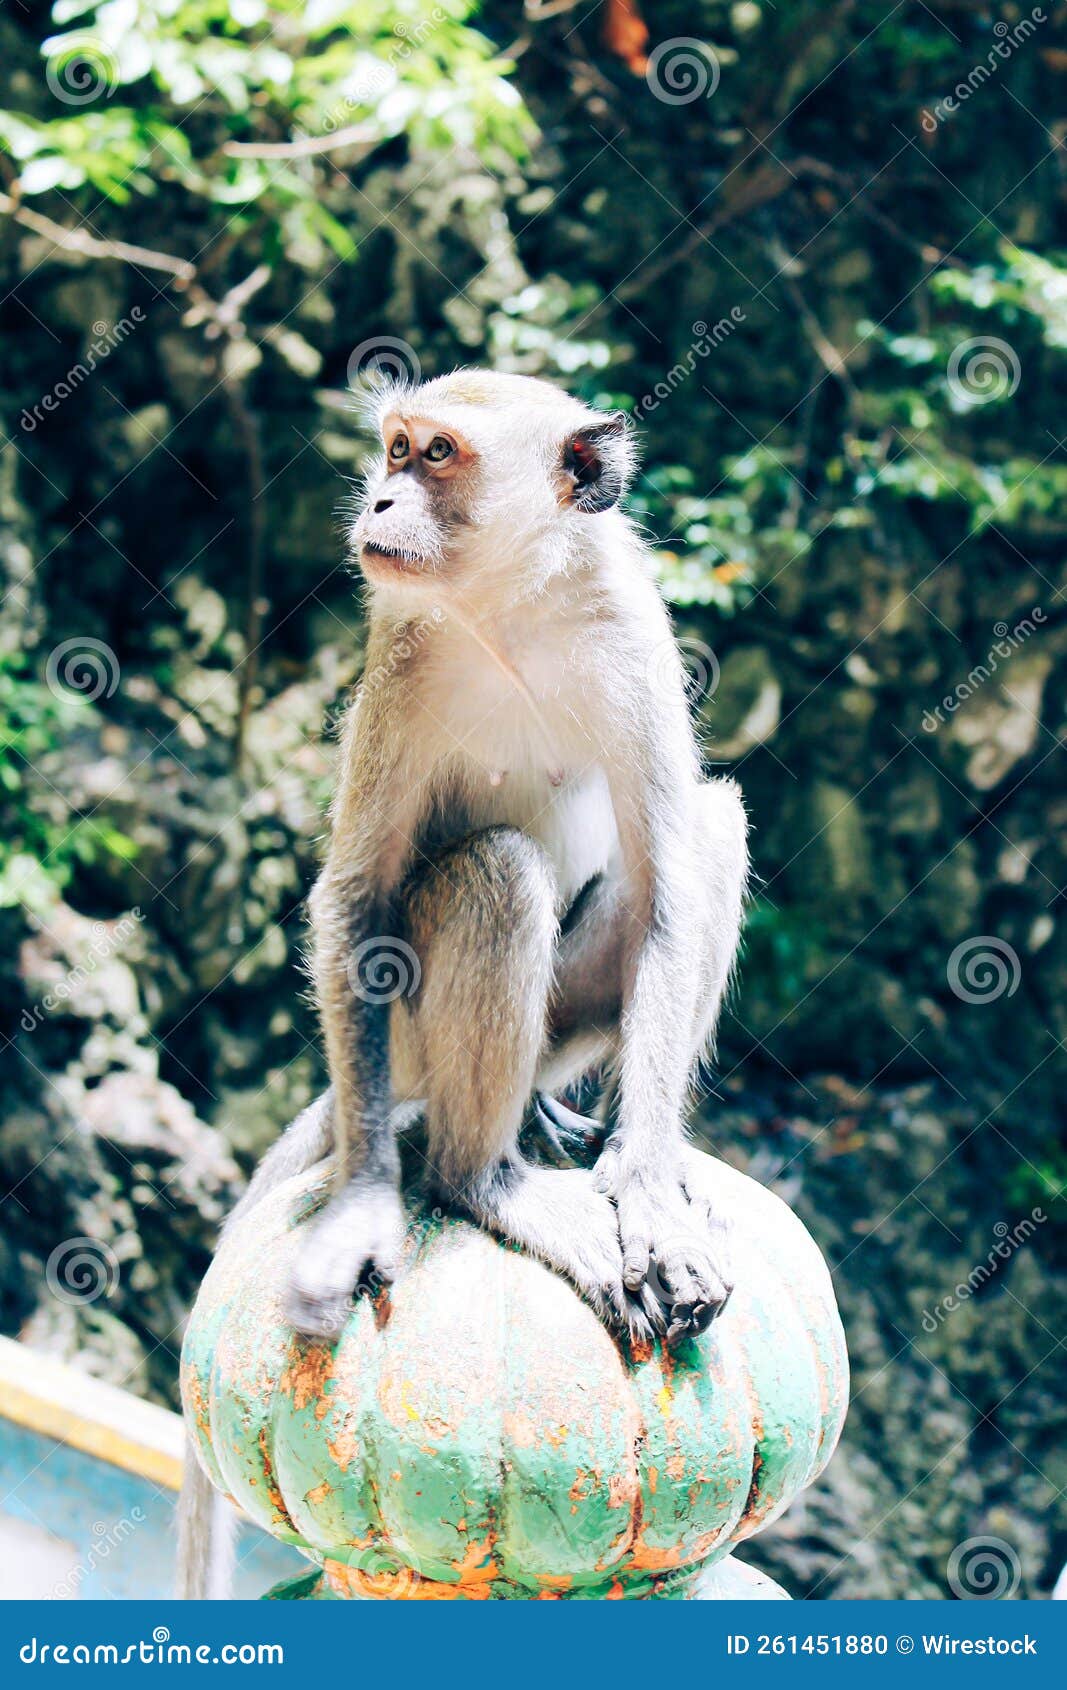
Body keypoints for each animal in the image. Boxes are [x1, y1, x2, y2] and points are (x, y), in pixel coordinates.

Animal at [177, 370, 748, 1597]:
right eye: (395, 447)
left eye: (437, 455)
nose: (382, 498)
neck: (506, 614)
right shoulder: (399, 651)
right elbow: (355, 903)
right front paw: (362, 1202)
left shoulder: (628, 626)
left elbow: (673, 874)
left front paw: (647, 1187)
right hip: (414, 1042)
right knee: (496, 873)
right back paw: (480, 1175)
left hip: (567, 1019)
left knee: (711, 829)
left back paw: (585, 1132)